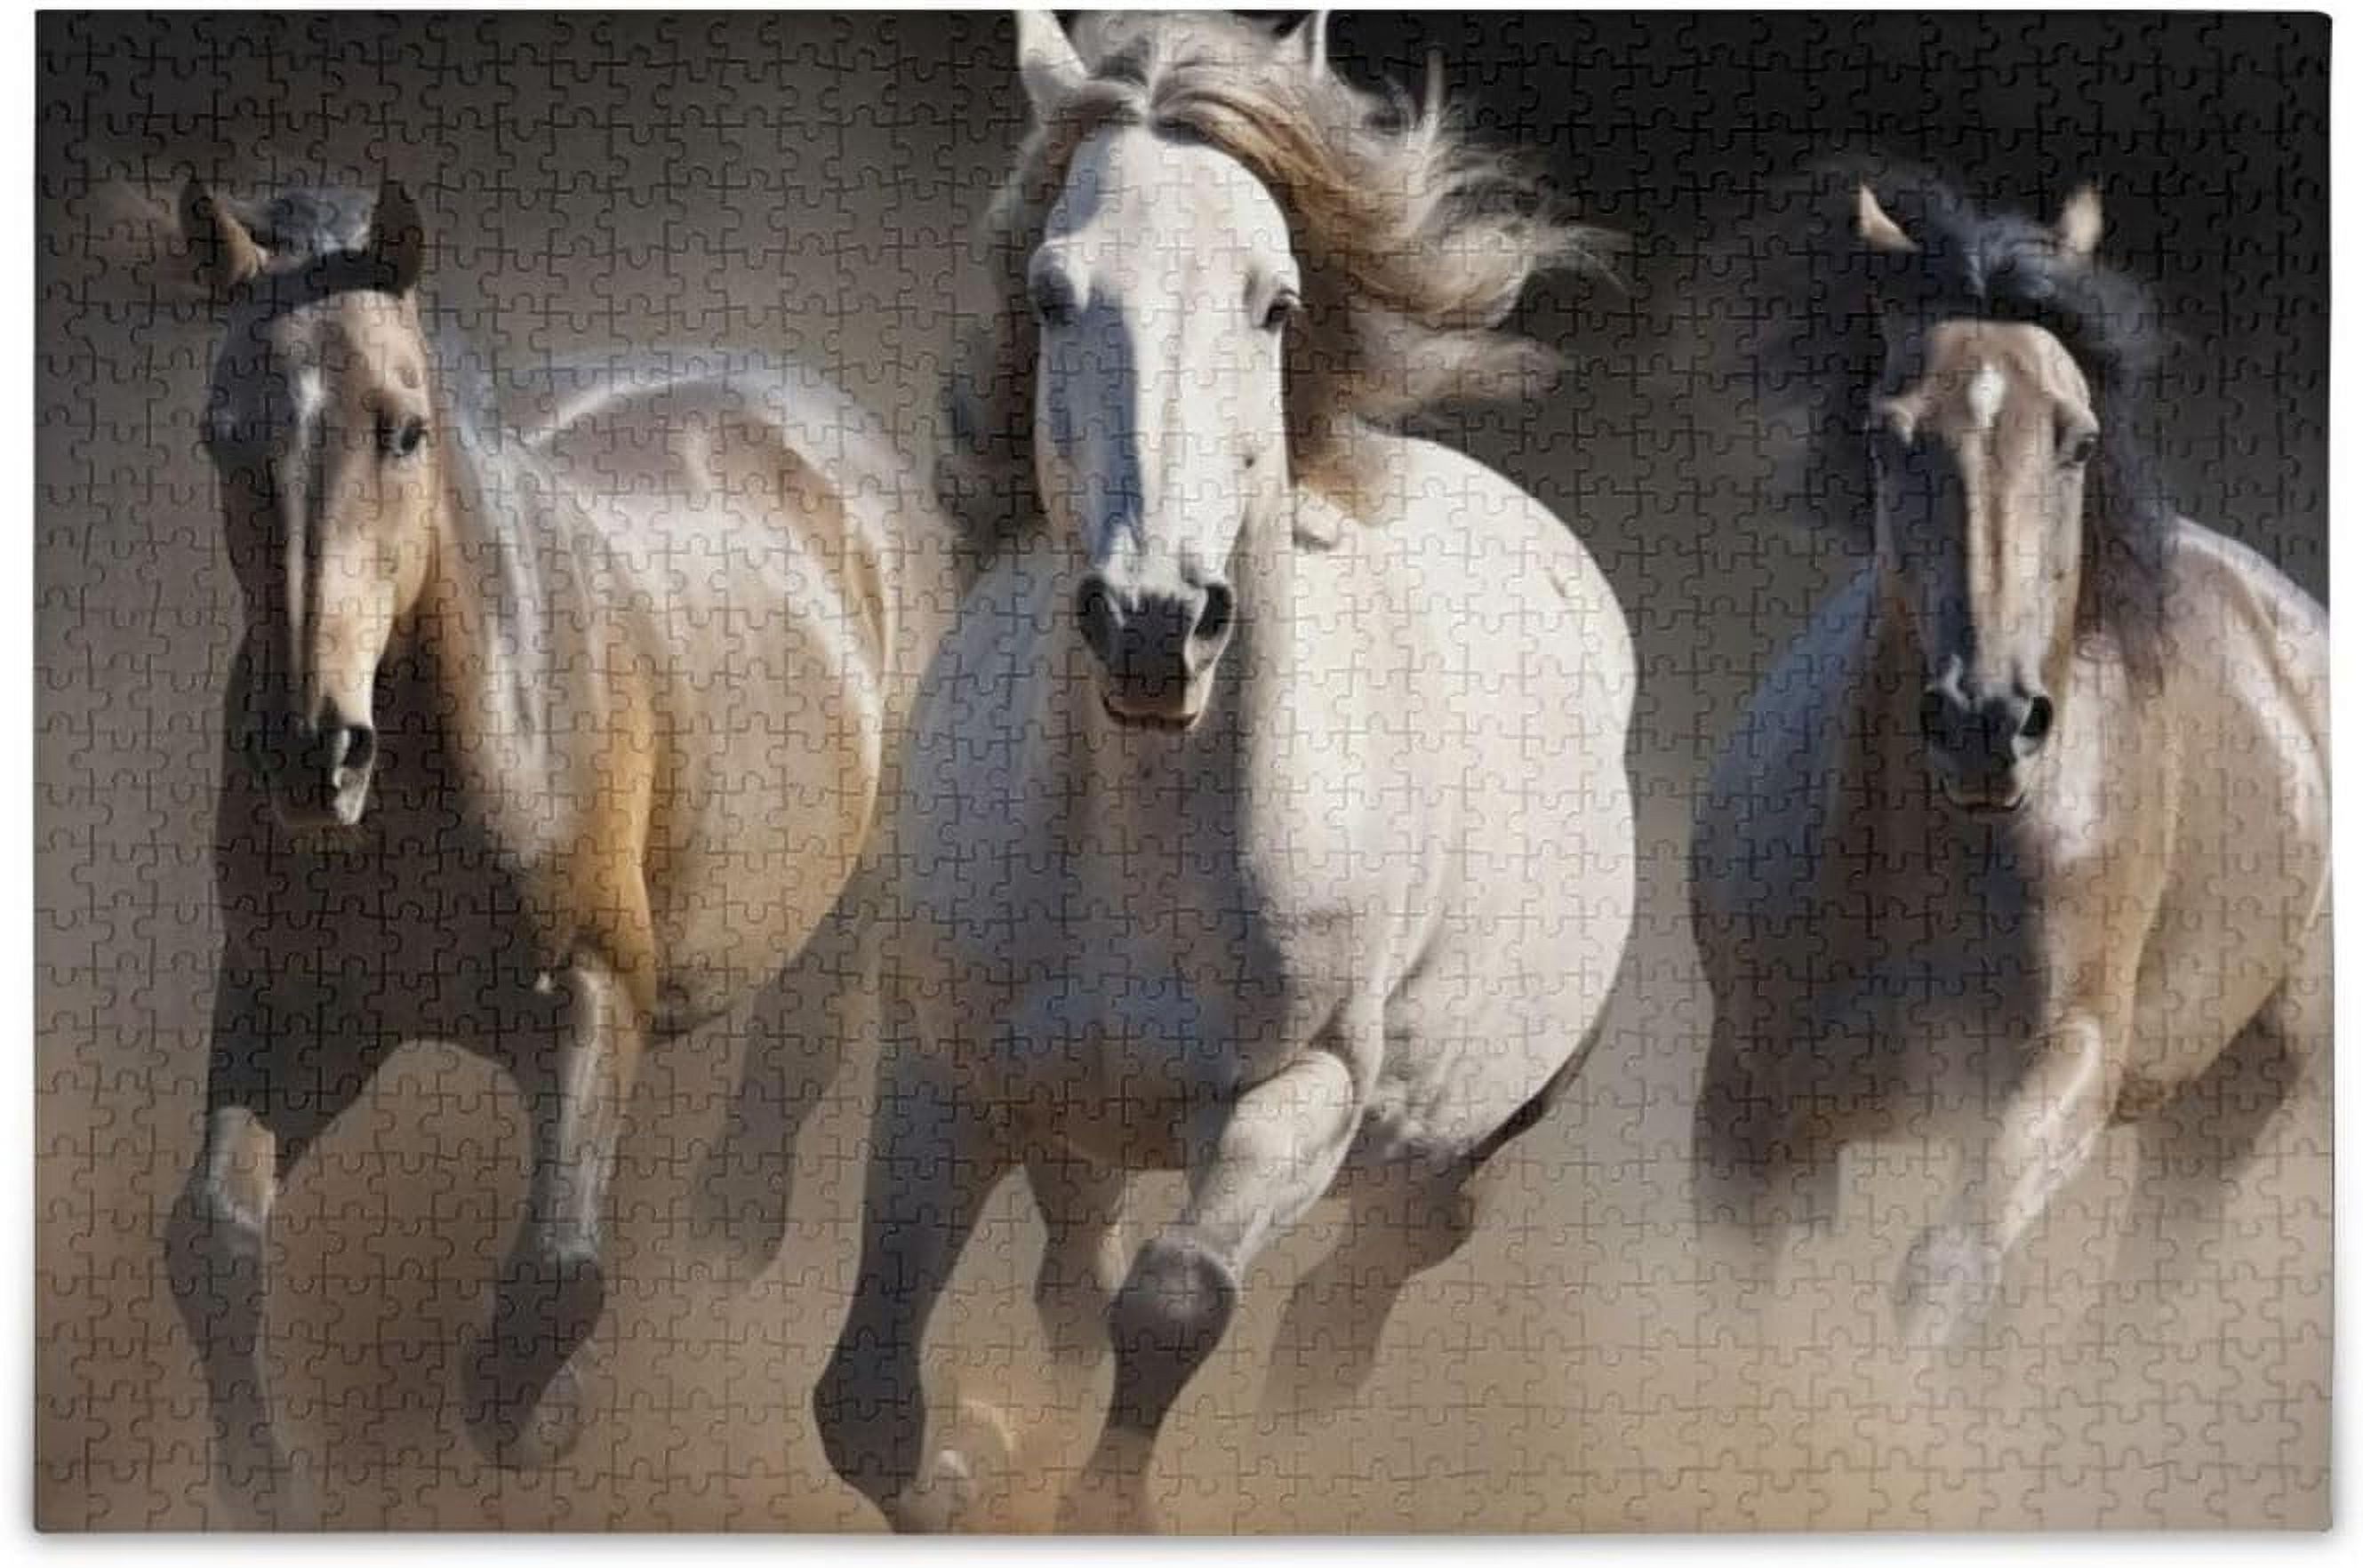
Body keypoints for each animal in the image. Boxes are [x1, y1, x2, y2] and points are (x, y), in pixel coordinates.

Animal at [159, 177, 952, 1523]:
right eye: (220, 433)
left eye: (404, 430)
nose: (312, 752)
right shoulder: (295, 1004)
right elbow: (213, 1238)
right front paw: (264, 1489)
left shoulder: (591, 992)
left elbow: (559, 1272)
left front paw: (545, 1414)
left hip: (863, 887)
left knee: (796, 1060)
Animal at [806, 12, 1636, 1533]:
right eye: (1052, 292)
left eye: (1273, 302)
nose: (1153, 622)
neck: (1135, 841)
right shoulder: (949, 1072)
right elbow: (866, 1404)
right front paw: (965, 1472)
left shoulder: (1297, 1095)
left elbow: (1176, 1301)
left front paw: (1096, 1501)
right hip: (1074, 1124)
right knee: (1073, 1272)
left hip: (1469, 1136)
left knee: (1363, 1281)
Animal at [1689, 171, 2331, 1348]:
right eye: (1888, 433)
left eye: (2075, 438)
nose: (1986, 720)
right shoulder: (1747, 1107)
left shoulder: (2064, 1065)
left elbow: (1942, 1275)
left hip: (2232, 1110)